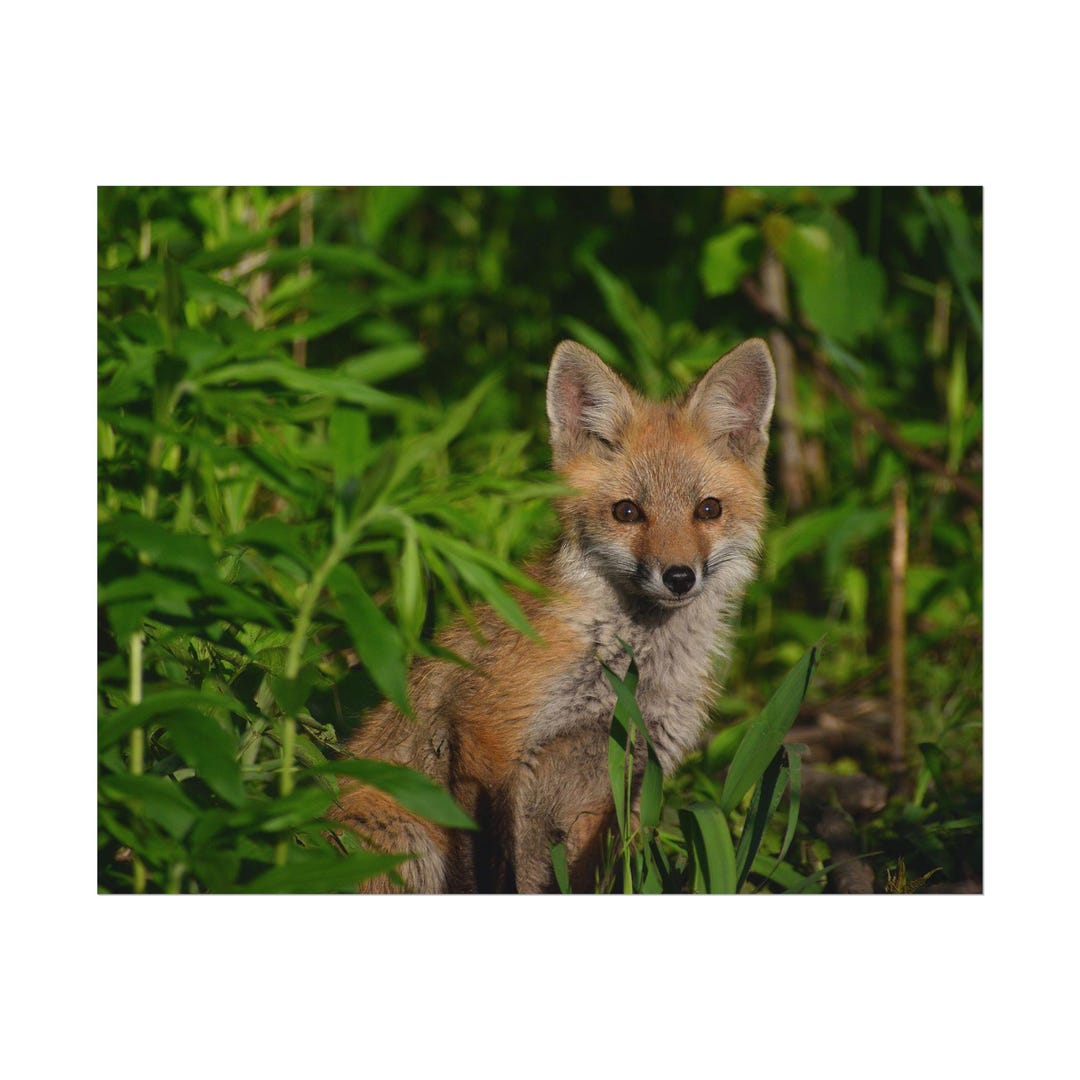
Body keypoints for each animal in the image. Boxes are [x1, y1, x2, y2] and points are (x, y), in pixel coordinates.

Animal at [331, 337, 776, 892]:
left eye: (709, 510)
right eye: (627, 512)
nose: (679, 577)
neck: (626, 674)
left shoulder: (626, 781)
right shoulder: (487, 738)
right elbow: (491, 872)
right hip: (406, 840)